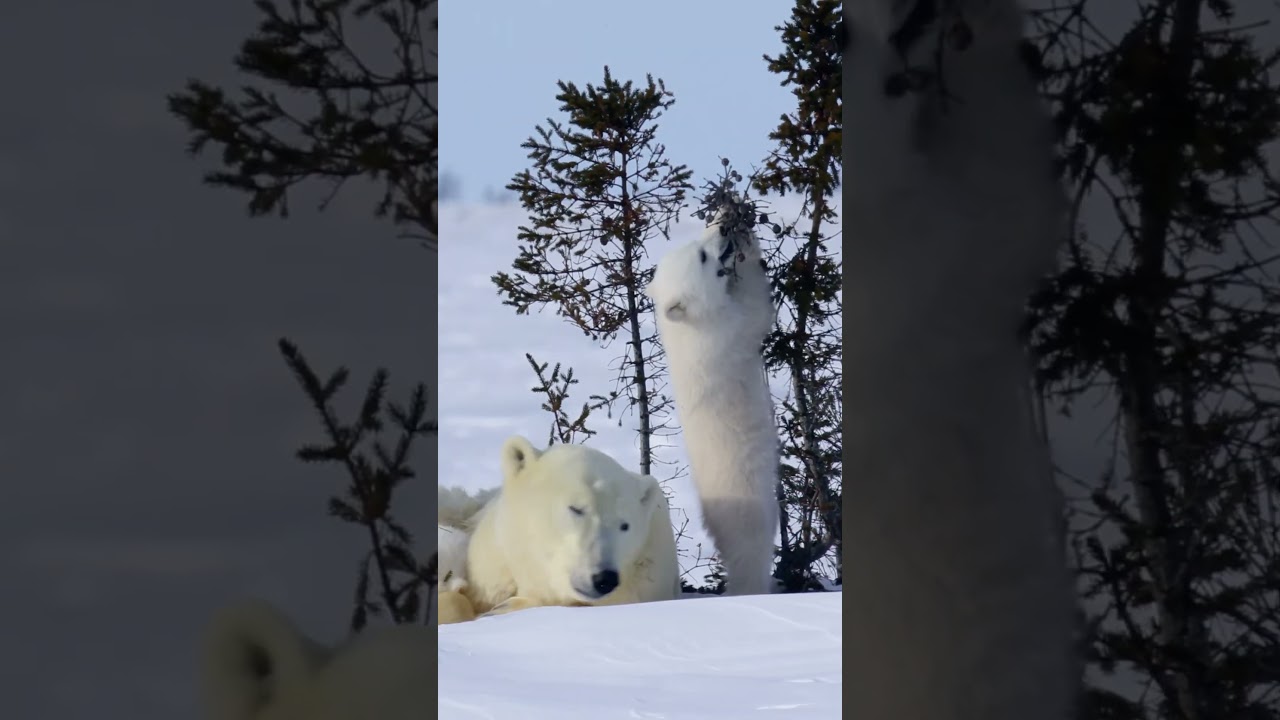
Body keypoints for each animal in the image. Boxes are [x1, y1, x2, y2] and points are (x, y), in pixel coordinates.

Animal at [644, 208, 780, 597]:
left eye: (697, 244)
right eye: (702, 257)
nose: (722, 228)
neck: (690, 325)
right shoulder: (725, 331)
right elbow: (755, 310)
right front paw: (749, 250)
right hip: (748, 497)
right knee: (754, 549)